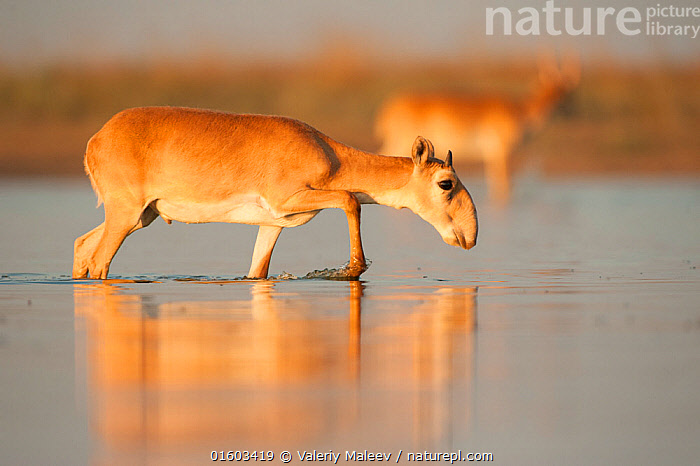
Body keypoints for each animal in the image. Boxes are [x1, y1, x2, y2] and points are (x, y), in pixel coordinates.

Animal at [73, 107, 478, 280]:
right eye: (446, 183)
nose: (470, 237)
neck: (328, 152)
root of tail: (95, 140)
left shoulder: (273, 224)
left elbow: (258, 272)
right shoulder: (290, 198)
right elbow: (350, 198)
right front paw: (354, 268)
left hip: (142, 216)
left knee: (82, 246)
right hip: (126, 215)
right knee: (100, 260)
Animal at [375, 57, 580, 203]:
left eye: (568, 92)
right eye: (559, 94)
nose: (573, 111)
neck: (519, 110)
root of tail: (389, 108)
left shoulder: (491, 155)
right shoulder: (501, 152)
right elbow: (503, 186)